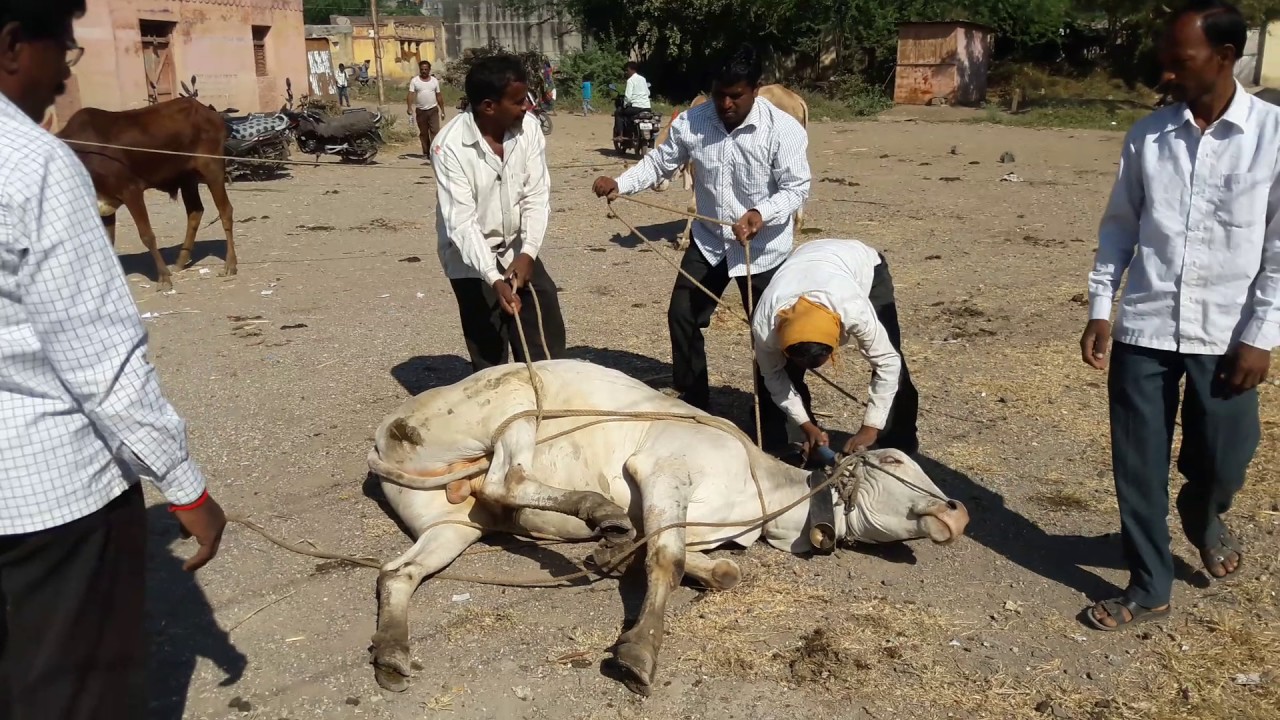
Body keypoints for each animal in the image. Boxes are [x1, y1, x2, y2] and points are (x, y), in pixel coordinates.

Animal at [57, 97, 235, 291]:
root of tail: (211, 113)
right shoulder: (105, 203)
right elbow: (109, 241)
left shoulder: (130, 191)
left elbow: (147, 235)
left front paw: (164, 277)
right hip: (187, 178)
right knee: (195, 212)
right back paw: (180, 262)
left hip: (212, 169)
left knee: (225, 211)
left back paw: (230, 265)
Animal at [366, 359, 969, 696]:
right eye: (892, 460)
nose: (958, 511)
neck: (760, 492)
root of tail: (381, 434)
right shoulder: (661, 470)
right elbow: (667, 560)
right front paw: (638, 653)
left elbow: (716, 570)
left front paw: (615, 557)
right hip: (515, 405)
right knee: (504, 477)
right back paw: (597, 510)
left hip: (451, 524)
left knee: (398, 571)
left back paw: (392, 651)